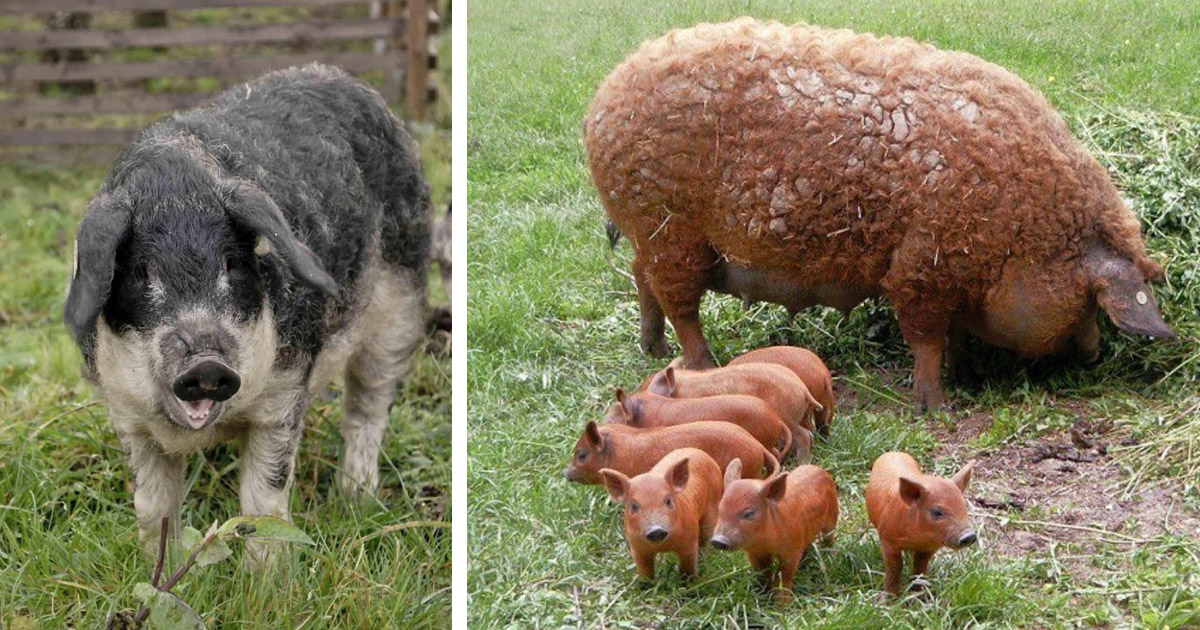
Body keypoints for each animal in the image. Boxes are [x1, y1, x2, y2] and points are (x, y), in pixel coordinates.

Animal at [62, 64, 431, 557]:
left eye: (231, 264)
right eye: (142, 272)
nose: (206, 362)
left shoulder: (285, 392)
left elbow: (262, 506)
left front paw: (270, 577)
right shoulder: (127, 414)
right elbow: (153, 506)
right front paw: (158, 568)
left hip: (401, 308)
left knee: (368, 408)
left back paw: (357, 501)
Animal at [585, 19, 1174, 411]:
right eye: (1091, 301)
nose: (1094, 354)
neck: (1021, 233)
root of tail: (602, 97)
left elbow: (952, 336)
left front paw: (964, 375)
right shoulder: (921, 264)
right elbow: (925, 337)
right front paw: (937, 406)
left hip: (656, 236)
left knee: (641, 277)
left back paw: (653, 350)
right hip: (667, 226)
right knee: (679, 303)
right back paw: (703, 366)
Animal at [599, 447, 724, 579]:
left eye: (668, 501)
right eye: (634, 506)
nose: (656, 530)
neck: (663, 546)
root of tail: (699, 451)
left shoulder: (689, 541)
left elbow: (688, 568)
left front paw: (690, 581)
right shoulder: (637, 547)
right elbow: (645, 571)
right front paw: (644, 583)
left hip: (713, 506)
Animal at [711, 460, 839, 602]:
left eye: (749, 513)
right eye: (720, 508)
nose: (718, 540)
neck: (765, 542)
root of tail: (820, 470)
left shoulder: (792, 552)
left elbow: (783, 578)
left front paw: (782, 604)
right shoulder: (755, 553)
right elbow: (762, 574)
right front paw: (762, 595)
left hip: (832, 517)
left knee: (829, 538)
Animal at [865, 452, 977, 595]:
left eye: (963, 505)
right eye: (937, 512)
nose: (970, 535)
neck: (919, 538)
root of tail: (894, 452)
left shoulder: (929, 548)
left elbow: (921, 568)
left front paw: (919, 594)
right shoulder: (888, 540)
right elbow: (895, 568)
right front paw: (891, 597)